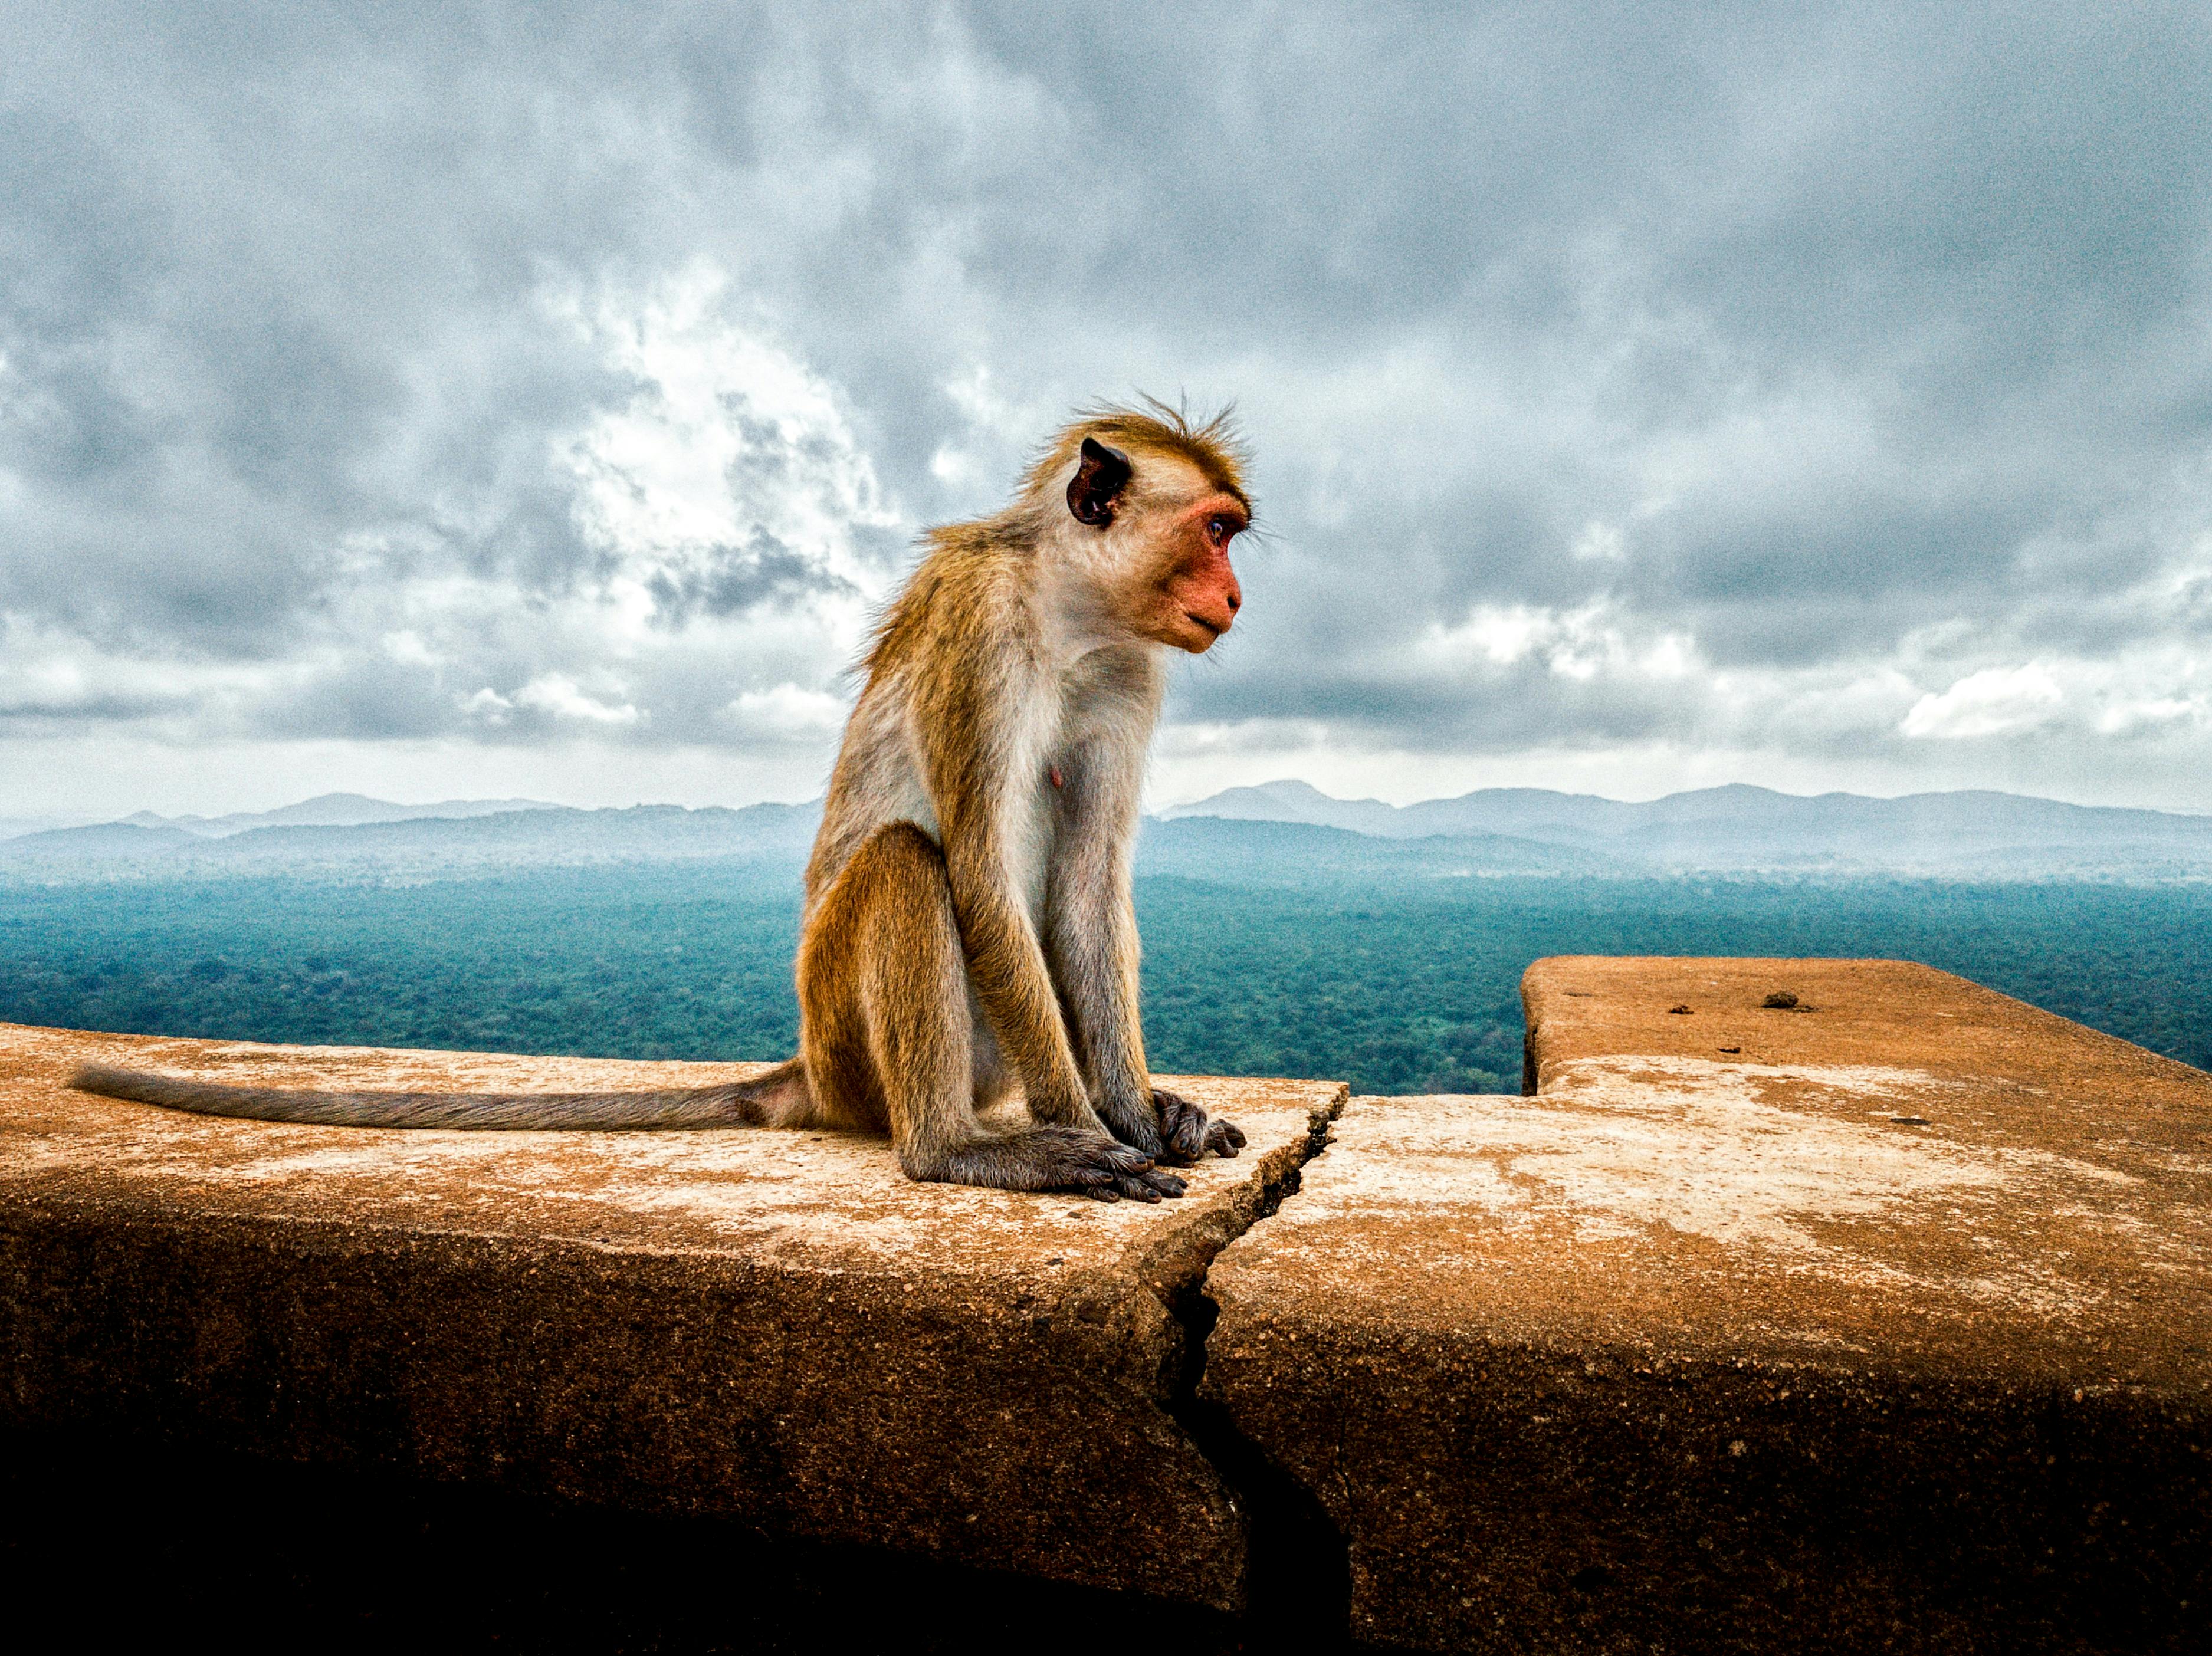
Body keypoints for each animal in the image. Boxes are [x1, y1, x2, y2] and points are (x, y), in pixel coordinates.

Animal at [74, 401, 1253, 1203]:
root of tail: (810, 1074)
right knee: (905, 861)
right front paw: (1087, 1132)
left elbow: (1085, 889)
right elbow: (977, 872)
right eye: (1213, 532)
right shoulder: (982, 629)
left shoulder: (1128, 672)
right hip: (851, 1044)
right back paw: (957, 1148)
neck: (1068, 612)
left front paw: (1137, 1110)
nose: (1235, 597)